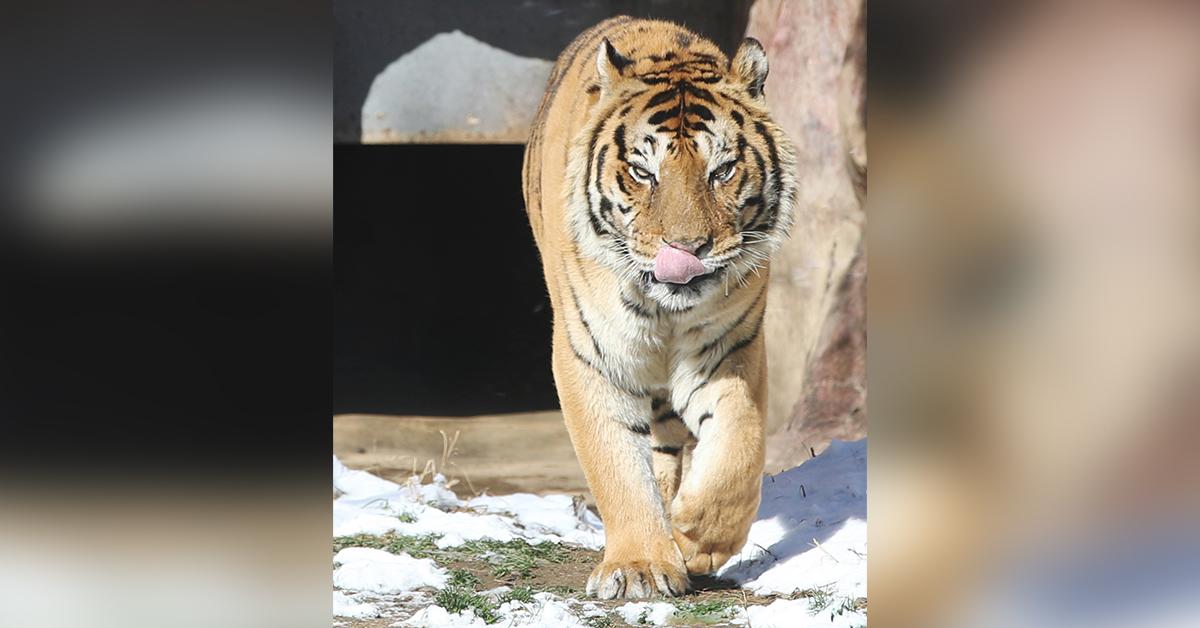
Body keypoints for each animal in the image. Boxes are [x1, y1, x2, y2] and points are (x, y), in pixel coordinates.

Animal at [521, 16, 797, 599]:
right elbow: (616, 465)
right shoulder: (592, 356)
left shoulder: (731, 348)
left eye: (723, 170)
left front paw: (697, 539)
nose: (686, 250)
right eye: (643, 173)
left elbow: (739, 444)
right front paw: (640, 567)